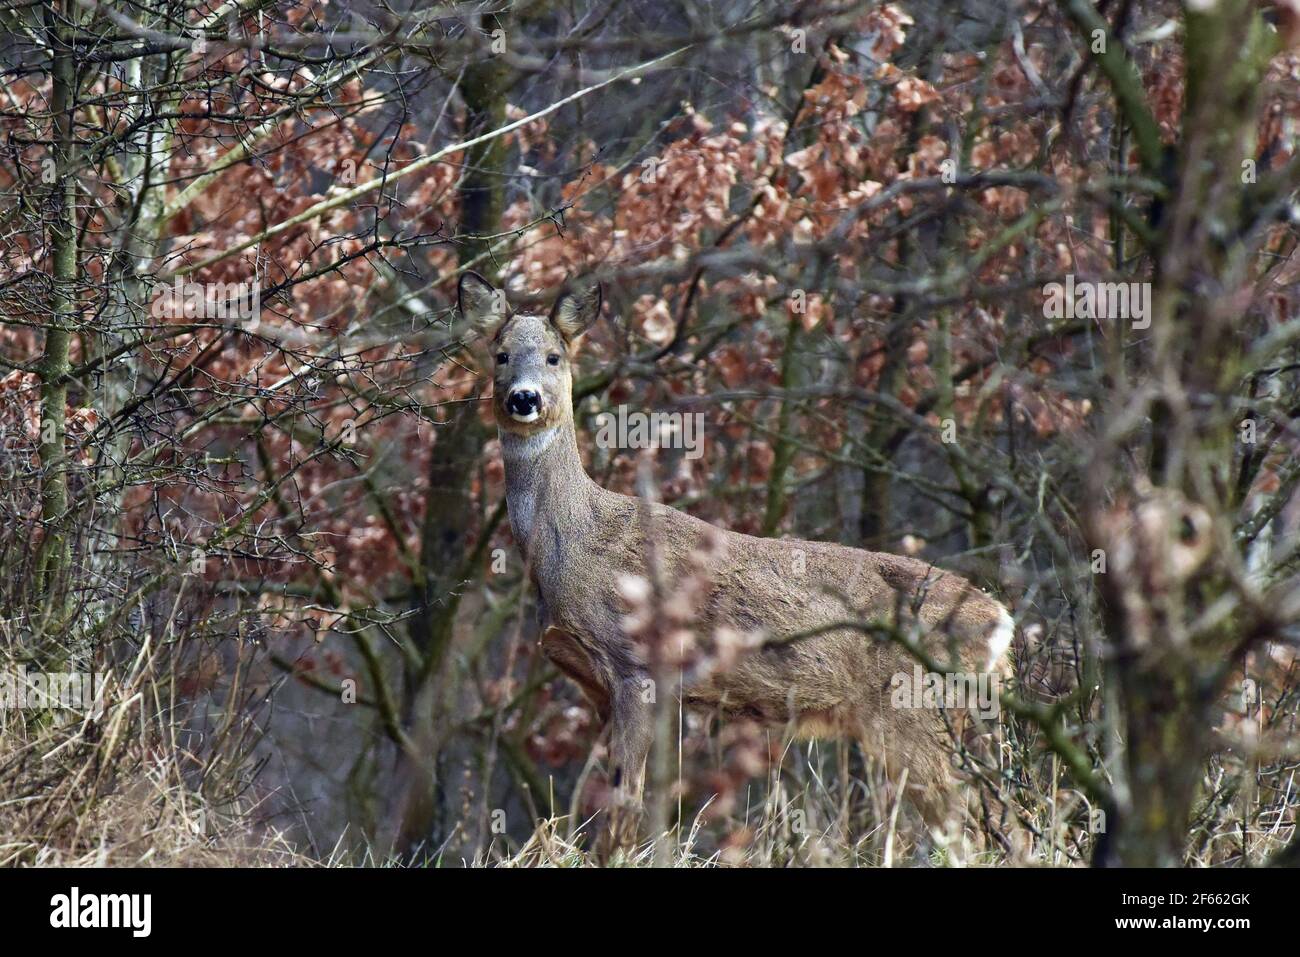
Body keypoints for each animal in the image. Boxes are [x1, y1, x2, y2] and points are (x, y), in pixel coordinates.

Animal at [458, 271, 1016, 851]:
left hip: (916, 710)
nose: (524, 398)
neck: (572, 547)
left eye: (554, 356)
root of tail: (1002, 623)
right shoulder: (596, 686)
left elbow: (626, 803)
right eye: (500, 354)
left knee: (974, 823)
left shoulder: (637, 666)